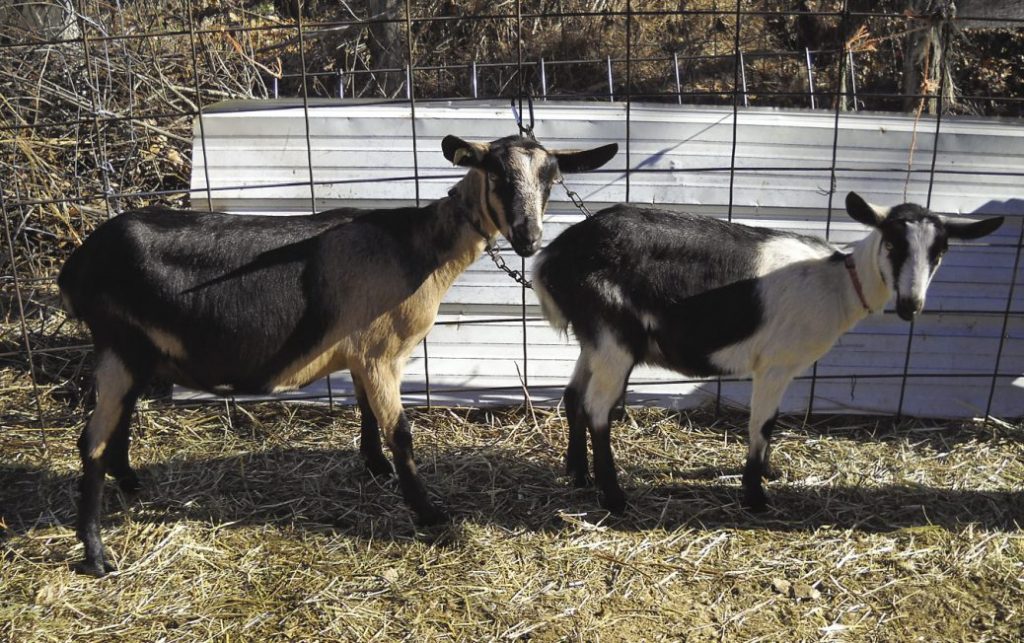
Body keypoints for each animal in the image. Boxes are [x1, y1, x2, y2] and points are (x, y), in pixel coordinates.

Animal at [59, 133, 617, 576]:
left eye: (551, 178)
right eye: (495, 174)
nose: (529, 238)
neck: (418, 248)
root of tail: (77, 265)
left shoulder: (364, 352)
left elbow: (367, 412)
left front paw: (374, 467)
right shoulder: (382, 353)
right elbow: (401, 432)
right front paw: (431, 514)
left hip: (135, 353)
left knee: (119, 423)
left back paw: (131, 483)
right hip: (118, 346)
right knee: (91, 441)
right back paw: (96, 555)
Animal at [533, 192, 1003, 513]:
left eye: (940, 251)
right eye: (892, 244)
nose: (911, 306)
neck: (838, 284)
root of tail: (551, 259)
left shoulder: (787, 370)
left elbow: (771, 424)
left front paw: (769, 473)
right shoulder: (775, 365)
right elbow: (764, 424)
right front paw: (755, 495)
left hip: (594, 338)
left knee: (573, 396)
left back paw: (578, 474)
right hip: (613, 336)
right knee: (597, 409)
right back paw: (614, 496)